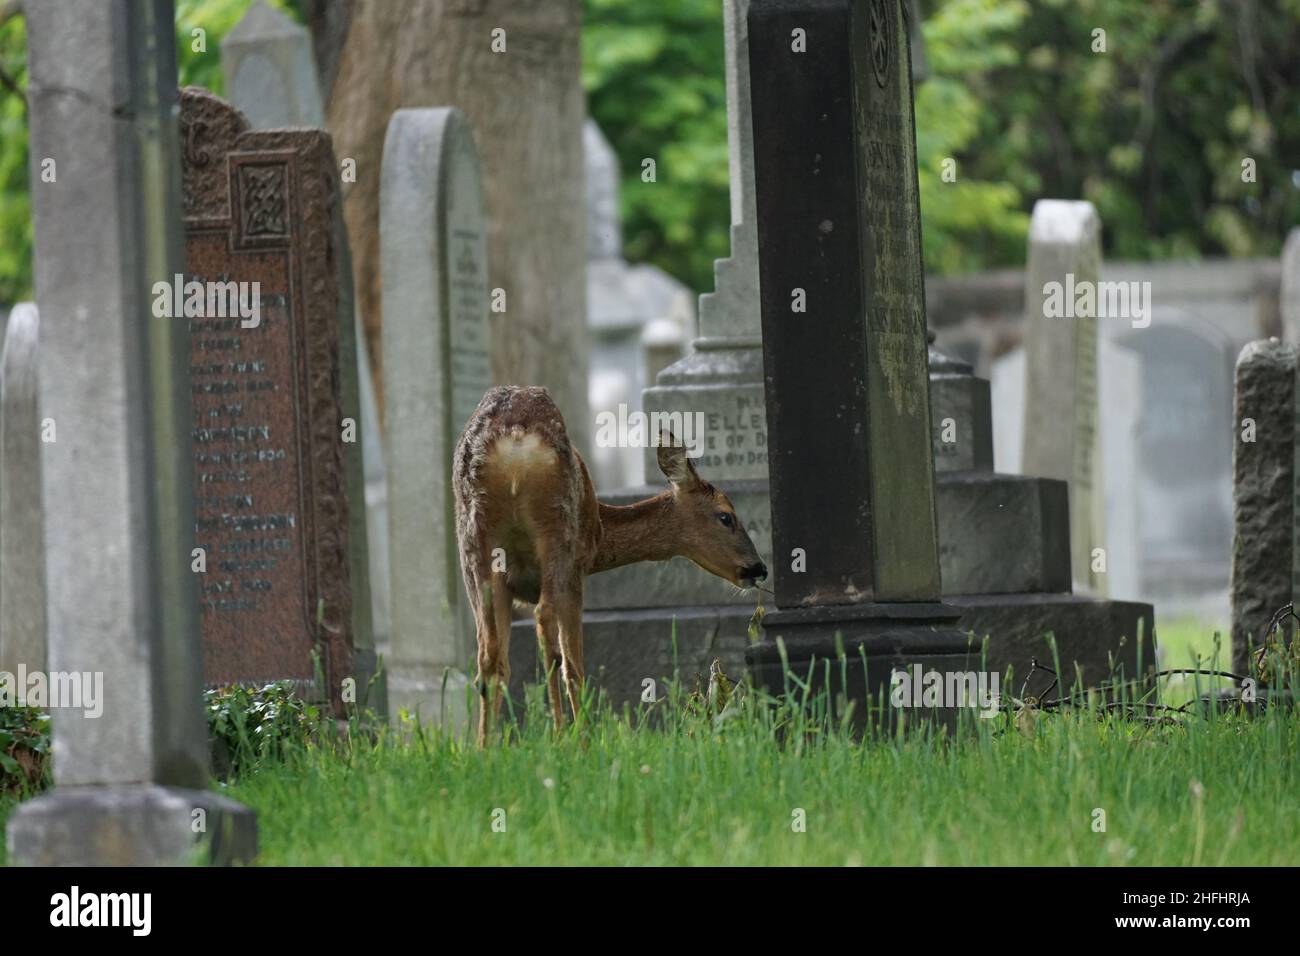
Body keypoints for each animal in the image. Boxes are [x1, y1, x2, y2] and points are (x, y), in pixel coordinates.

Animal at [453, 385, 768, 745]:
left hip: (473, 547)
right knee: (547, 627)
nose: (758, 567)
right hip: (559, 534)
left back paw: (483, 746)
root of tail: (515, 438)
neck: (601, 534)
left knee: (489, 654)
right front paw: (580, 740)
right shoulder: (578, 570)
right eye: (726, 516)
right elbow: (573, 663)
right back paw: (562, 736)